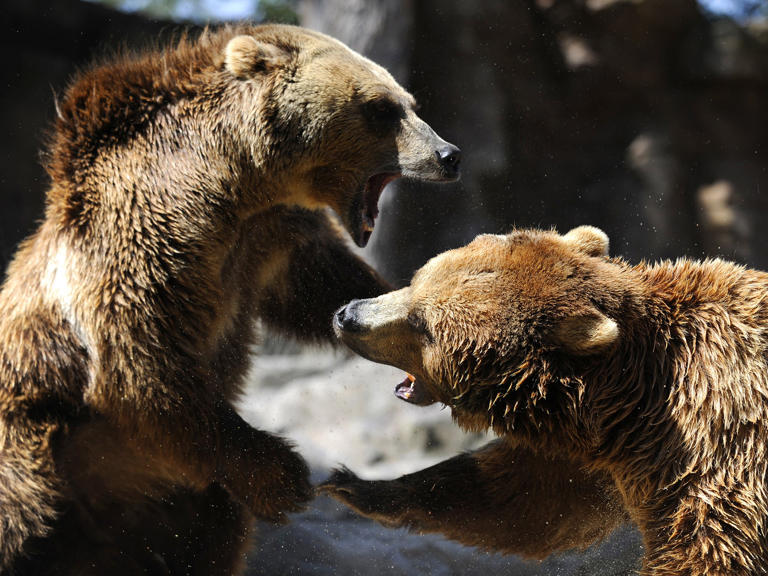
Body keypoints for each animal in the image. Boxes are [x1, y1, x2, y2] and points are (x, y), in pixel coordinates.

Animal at [0, 23, 460, 575]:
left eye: (409, 102)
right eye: (382, 108)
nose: (449, 155)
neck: (230, 184)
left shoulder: (273, 234)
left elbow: (317, 286)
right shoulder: (139, 238)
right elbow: (142, 364)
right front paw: (285, 475)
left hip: (174, 502)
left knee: (208, 536)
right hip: (35, 445)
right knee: (21, 508)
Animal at [324, 226, 768, 576]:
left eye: (422, 325)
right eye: (417, 279)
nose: (347, 315)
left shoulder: (711, 443)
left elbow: (710, 547)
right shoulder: (603, 448)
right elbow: (526, 496)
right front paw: (355, 486)